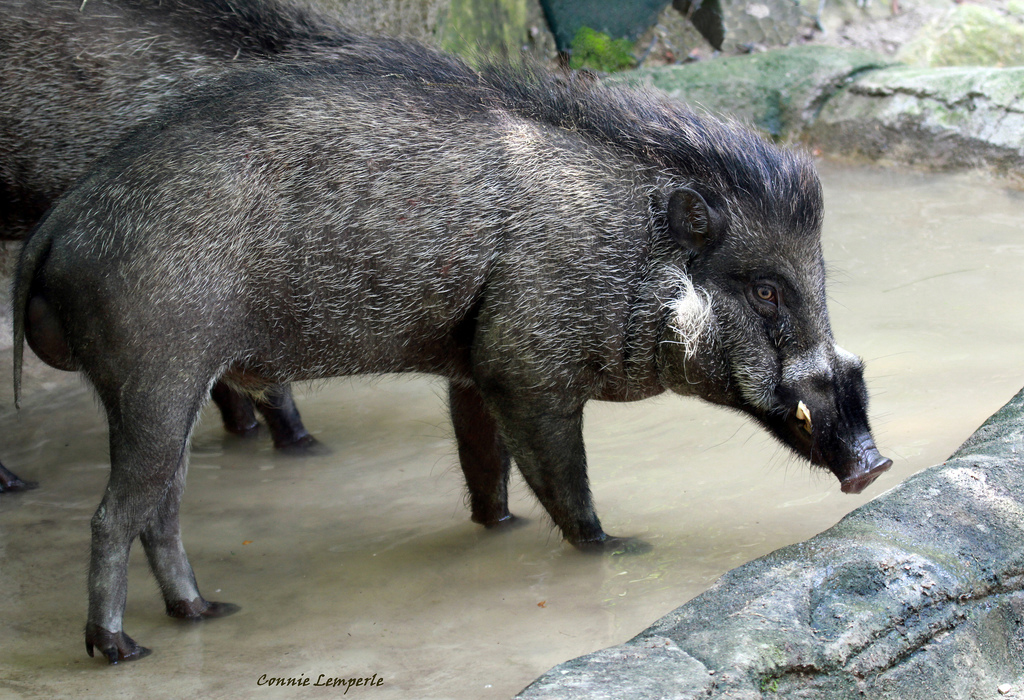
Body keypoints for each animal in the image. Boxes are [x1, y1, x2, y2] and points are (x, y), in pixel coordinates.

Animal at [13, 41, 891, 662]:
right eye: (768, 291)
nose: (876, 465)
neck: (632, 249)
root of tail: (61, 223)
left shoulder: (474, 372)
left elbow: (485, 470)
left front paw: (498, 531)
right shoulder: (527, 371)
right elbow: (565, 483)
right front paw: (620, 548)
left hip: (169, 392)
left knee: (159, 511)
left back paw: (203, 613)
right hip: (157, 377)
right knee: (115, 514)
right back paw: (119, 649)